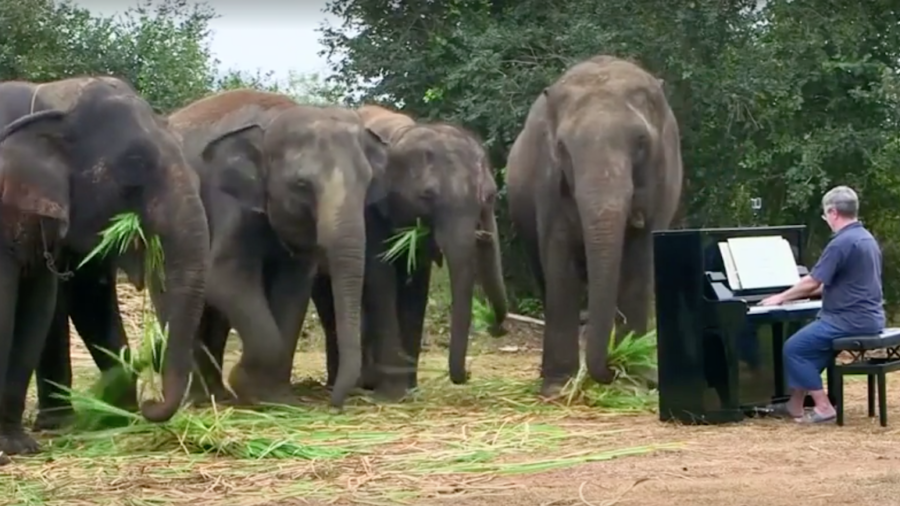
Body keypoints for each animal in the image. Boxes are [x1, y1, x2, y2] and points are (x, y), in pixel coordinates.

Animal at [166, 90, 390, 408]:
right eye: (301, 185)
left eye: (368, 181)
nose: (334, 403)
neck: (274, 120)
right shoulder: (228, 203)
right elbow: (222, 276)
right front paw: (246, 385)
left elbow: (294, 288)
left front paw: (276, 398)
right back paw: (200, 400)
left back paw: (217, 395)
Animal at [316, 105, 509, 391]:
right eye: (426, 196)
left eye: (490, 195)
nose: (470, 373)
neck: (402, 134)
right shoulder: (369, 211)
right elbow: (380, 277)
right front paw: (393, 392)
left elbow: (416, 284)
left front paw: (408, 388)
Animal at [506, 55, 683, 397]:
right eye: (562, 147)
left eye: (641, 142)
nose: (612, 368)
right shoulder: (548, 184)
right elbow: (560, 260)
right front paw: (557, 389)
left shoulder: (661, 180)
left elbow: (638, 264)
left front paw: (632, 382)